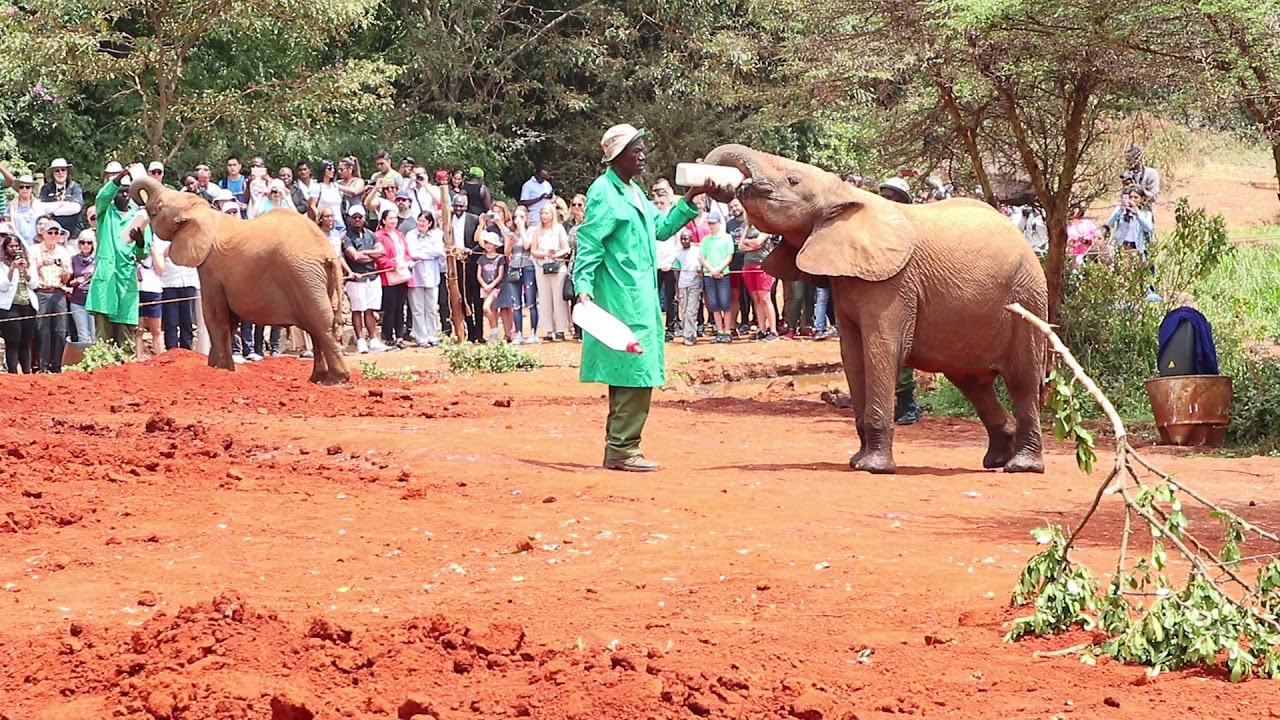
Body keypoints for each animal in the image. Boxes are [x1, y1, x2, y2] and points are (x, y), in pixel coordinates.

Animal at [128, 176, 350, 385]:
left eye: (157, 210)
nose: (135, 230)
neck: (205, 214)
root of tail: (328, 253)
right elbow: (229, 319)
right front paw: (220, 368)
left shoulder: (211, 268)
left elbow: (215, 315)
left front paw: (218, 370)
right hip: (314, 278)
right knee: (318, 326)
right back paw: (317, 379)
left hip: (304, 276)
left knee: (320, 323)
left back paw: (335, 381)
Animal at [702, 144, 1047, 474]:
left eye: (793, 180)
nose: (722, 185)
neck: (847, 195)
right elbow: (852, 356)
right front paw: (857, 460)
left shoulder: (893, 284)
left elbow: (881, 350)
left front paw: (874, 467)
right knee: (972, 383)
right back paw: (996, 459)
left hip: (1027, 296)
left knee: (1022, 381)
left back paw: (1022, 466)